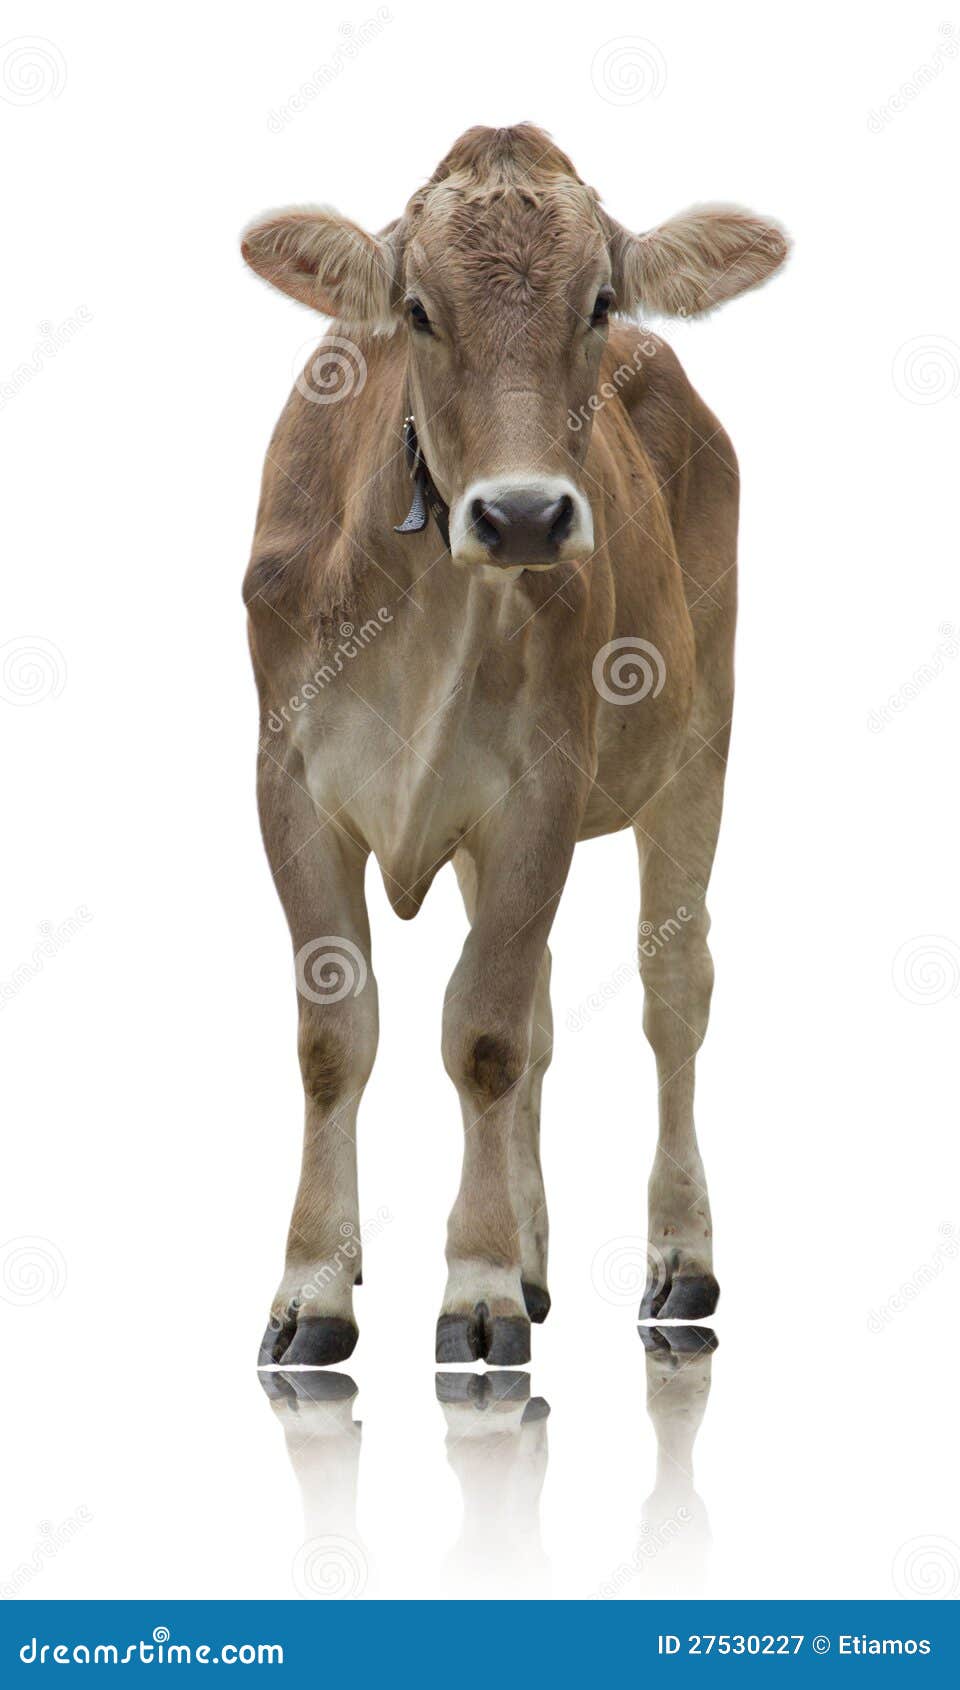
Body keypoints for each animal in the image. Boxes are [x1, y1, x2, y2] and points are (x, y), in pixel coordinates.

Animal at [241, 123, 789, 1368]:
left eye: (596, 302)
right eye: (418, 309)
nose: (528, 516)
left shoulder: (543, 785)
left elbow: (483, 1034)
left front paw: (478, 1290)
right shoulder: (288, 781)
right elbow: (337, 1036)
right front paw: (314, 1290)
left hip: (703, 739)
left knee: (671, 992)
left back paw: (679, 1260)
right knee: (537, 1013)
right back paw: (538, 1264)